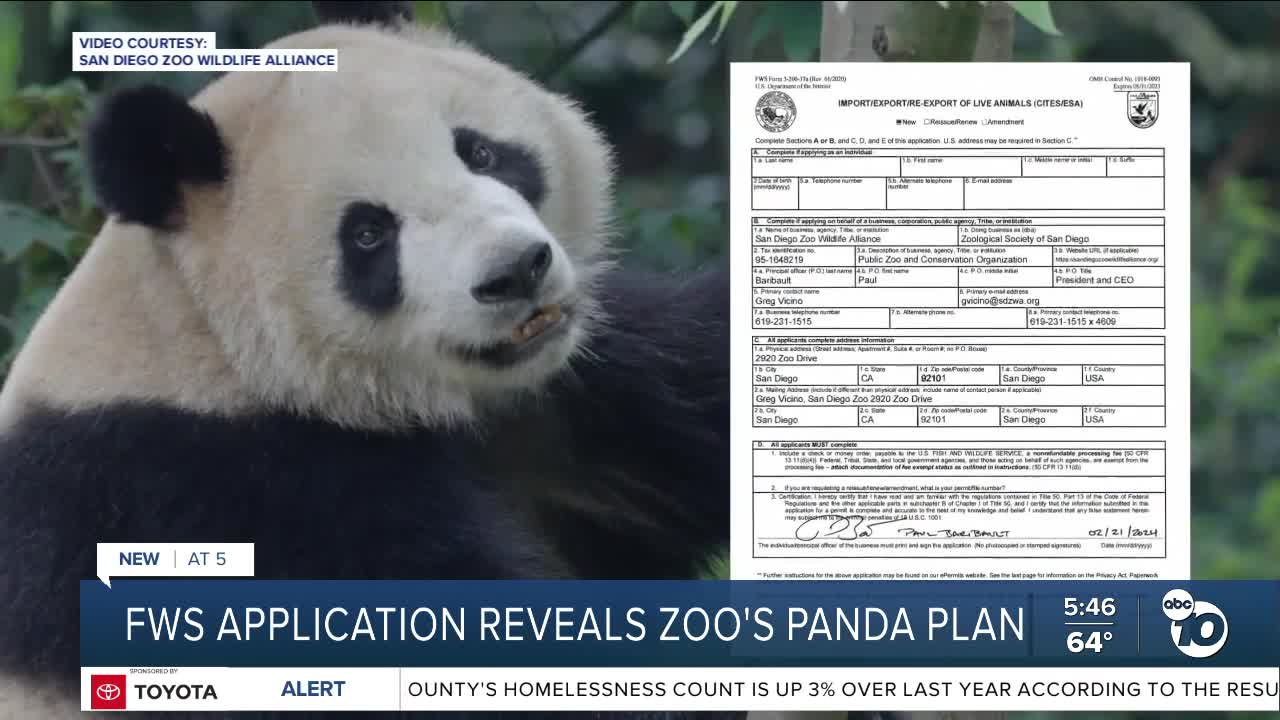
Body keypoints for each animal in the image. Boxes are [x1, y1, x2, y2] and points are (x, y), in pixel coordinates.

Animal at [0, 2, 731, 717]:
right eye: (369, 233)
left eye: (482, 152)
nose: (516, 272)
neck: (204, 339)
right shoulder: (215, 497)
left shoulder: (570, 393)